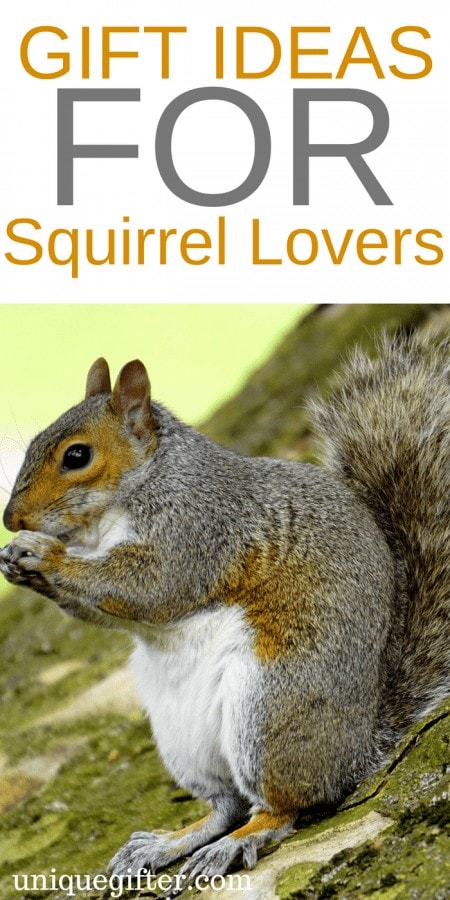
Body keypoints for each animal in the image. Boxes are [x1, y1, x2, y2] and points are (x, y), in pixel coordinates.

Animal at [0, 332, 448, 887]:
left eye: (76, 455)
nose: (11, 518)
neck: (142, 483)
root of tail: (357, 749)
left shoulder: (197, 533)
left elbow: (147, 586)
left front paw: (42, 553)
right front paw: (17, 560)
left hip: (269, 707)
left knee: (283, 807)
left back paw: (237, 843)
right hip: (183, 739)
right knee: (226, 805)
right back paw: (167, 843)